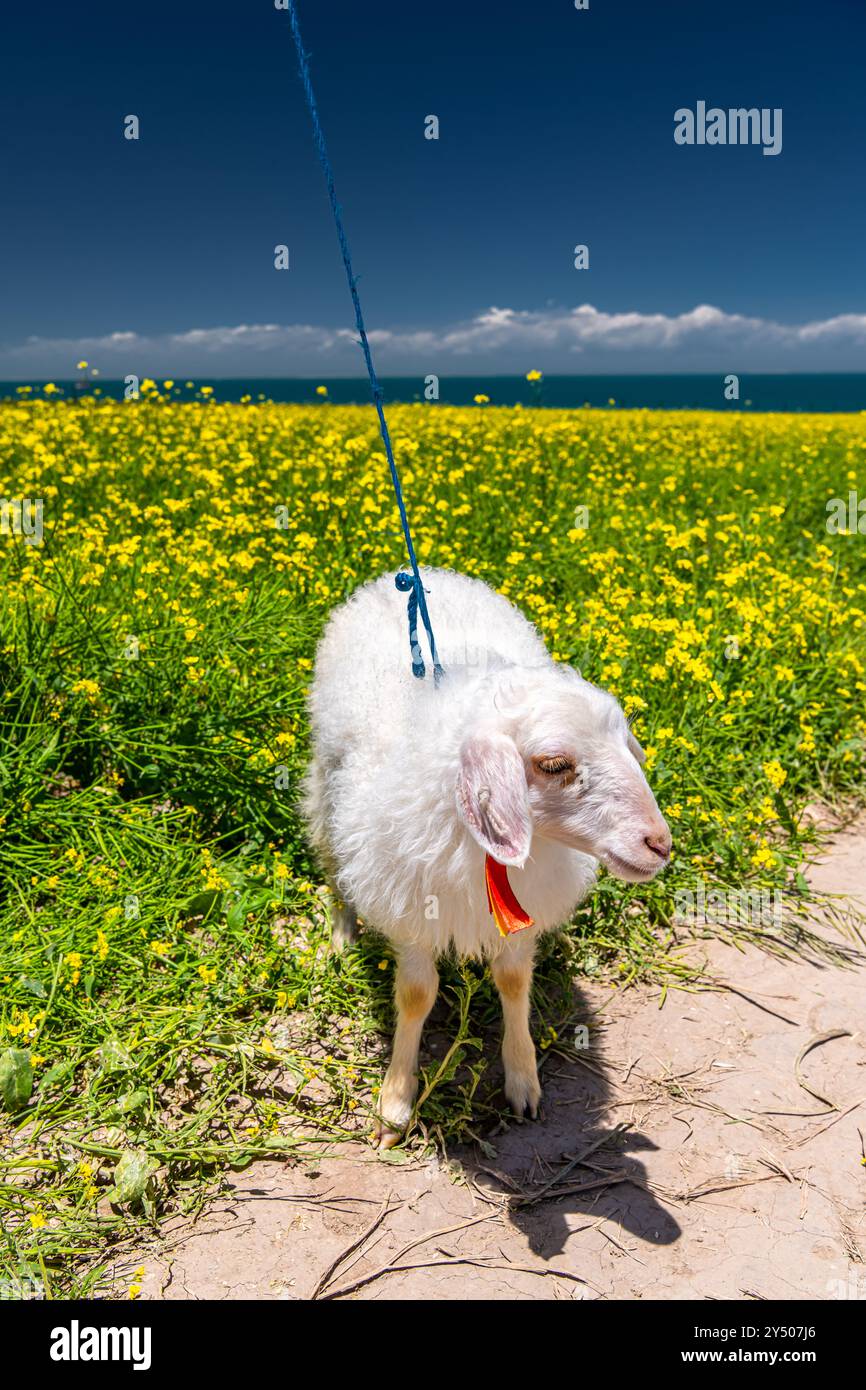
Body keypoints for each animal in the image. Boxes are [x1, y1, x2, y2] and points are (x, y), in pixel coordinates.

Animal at [303, 567, 671, 1148]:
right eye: (554, 763)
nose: (660, 844)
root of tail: (414, 575)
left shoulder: (522, 913)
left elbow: (514, 982)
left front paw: (523, 1078)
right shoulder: (413, 909)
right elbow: (415, 995)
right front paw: (396, 1100)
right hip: (326, 779)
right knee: (331, 855)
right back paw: (342, 932)